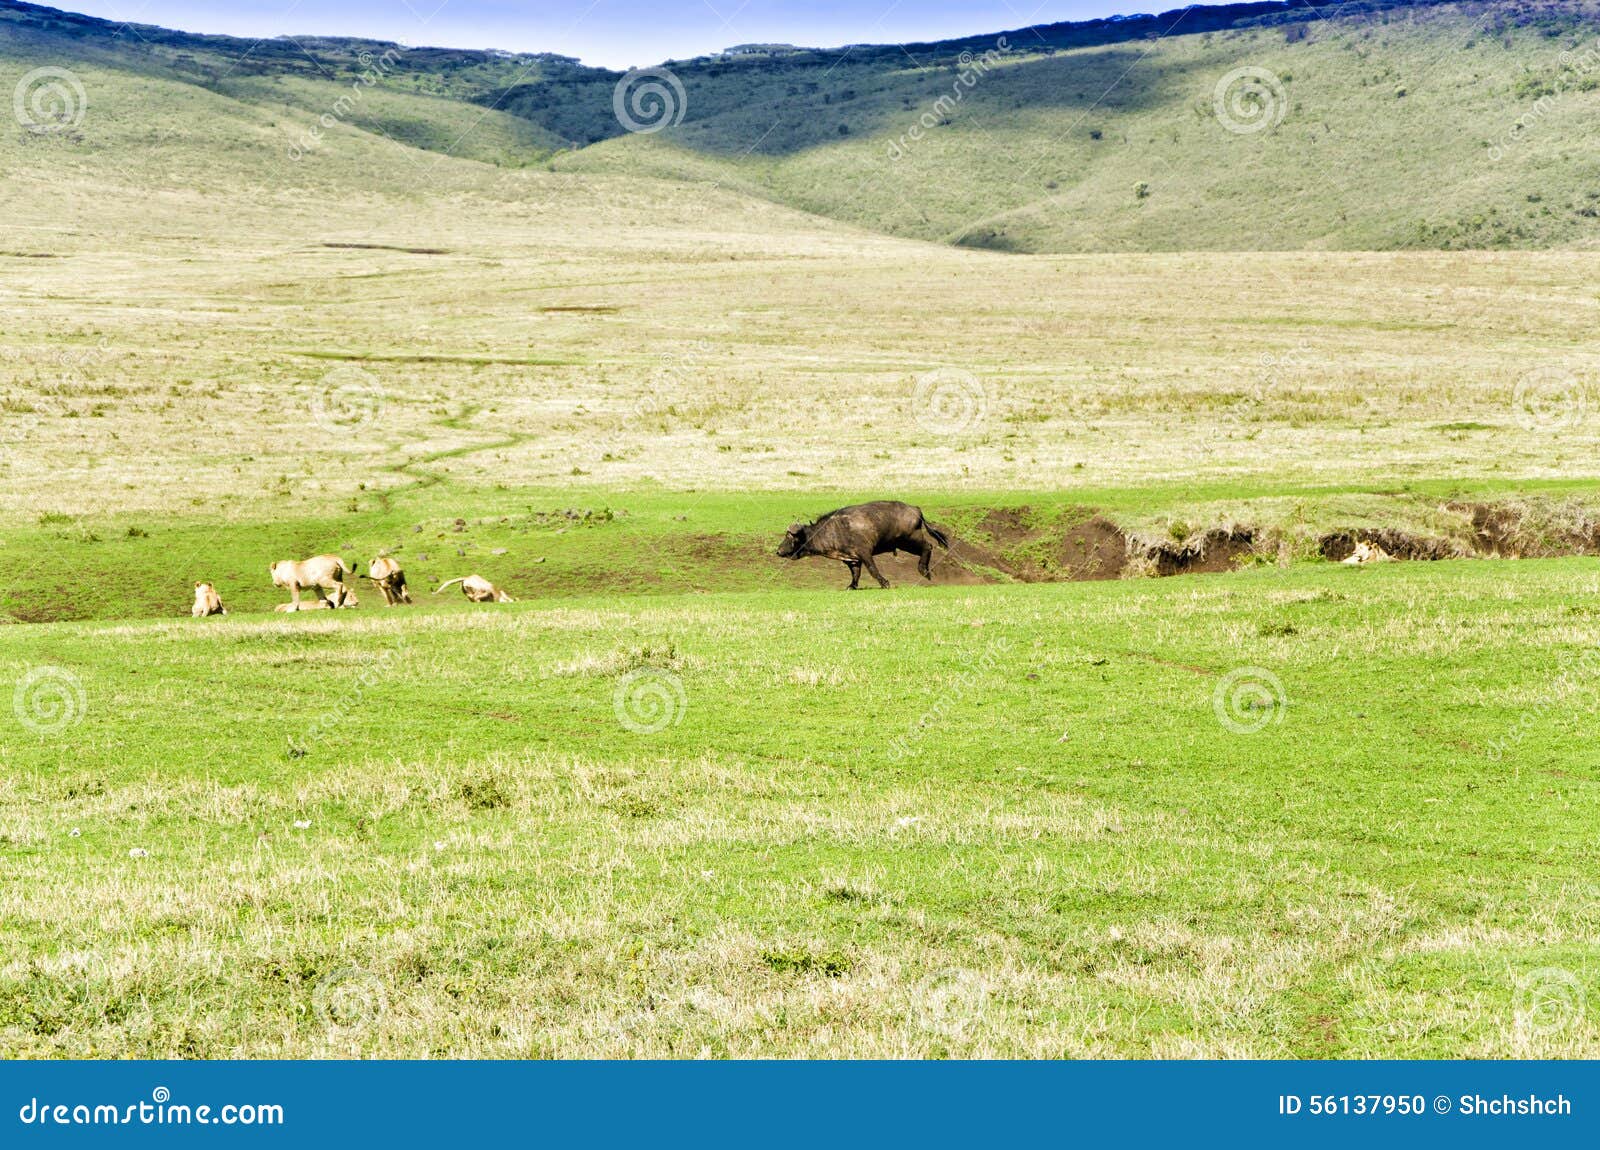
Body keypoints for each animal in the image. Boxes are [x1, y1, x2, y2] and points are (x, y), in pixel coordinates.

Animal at [777, 501, 951, 589]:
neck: (834, 529)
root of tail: (915, 509)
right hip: (904, 543)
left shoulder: (865, 553)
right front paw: (852, 586)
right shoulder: (852, 559)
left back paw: (924, 571)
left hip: (909, 539)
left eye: (789, 536)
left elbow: (873, 570)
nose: (778, 551)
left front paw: (885, 583)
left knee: (928, 546)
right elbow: (856, 573)